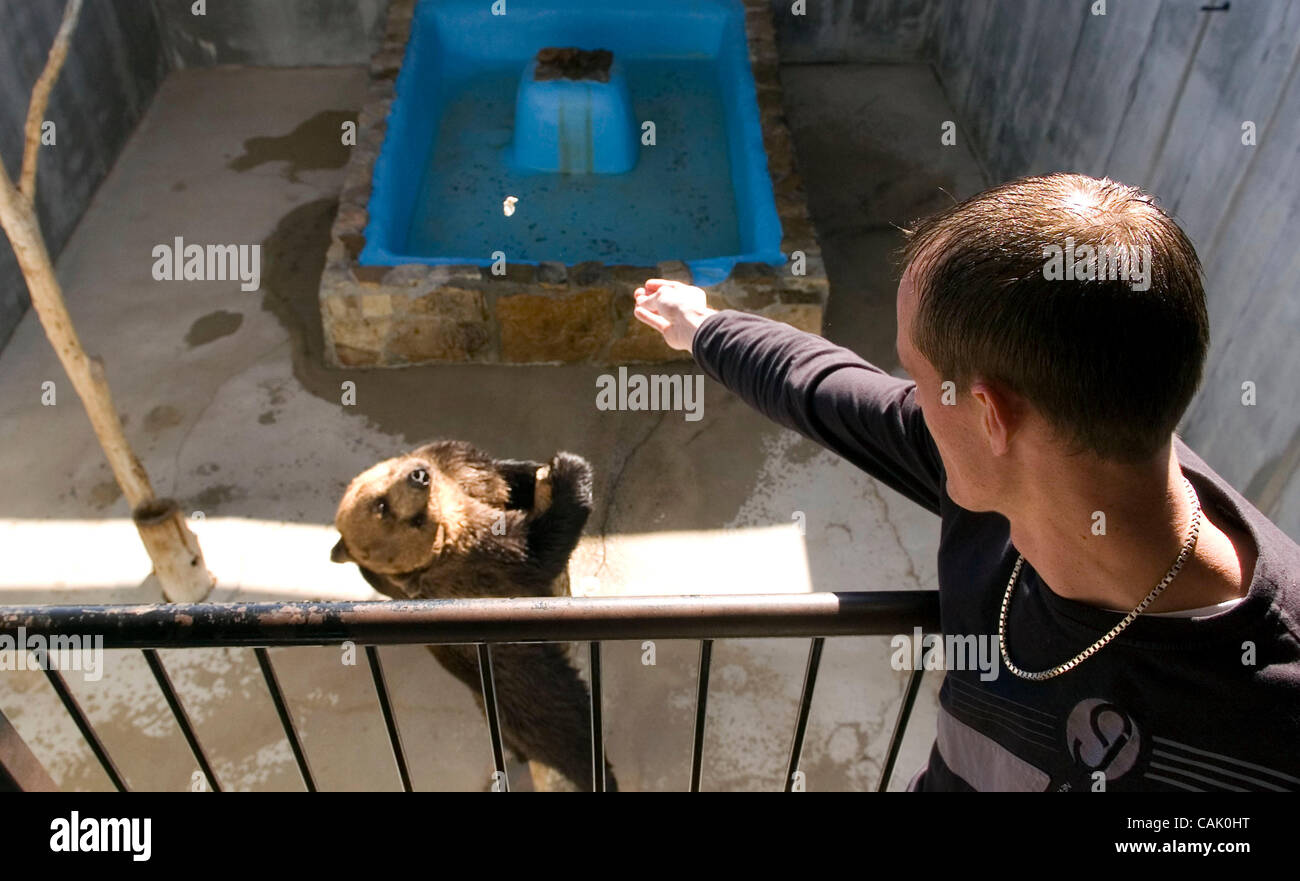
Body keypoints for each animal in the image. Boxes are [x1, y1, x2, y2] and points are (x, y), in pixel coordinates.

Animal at [330, 439, 616, 792]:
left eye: (380, 503)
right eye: (388, 510)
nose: (418, 477)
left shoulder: (461, 464)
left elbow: (506, 473)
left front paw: (549, 463)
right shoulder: (477, 562)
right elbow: (536, 548)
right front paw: (571, 468)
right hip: (521, 677)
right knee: (561, 727)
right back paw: (598, 774)